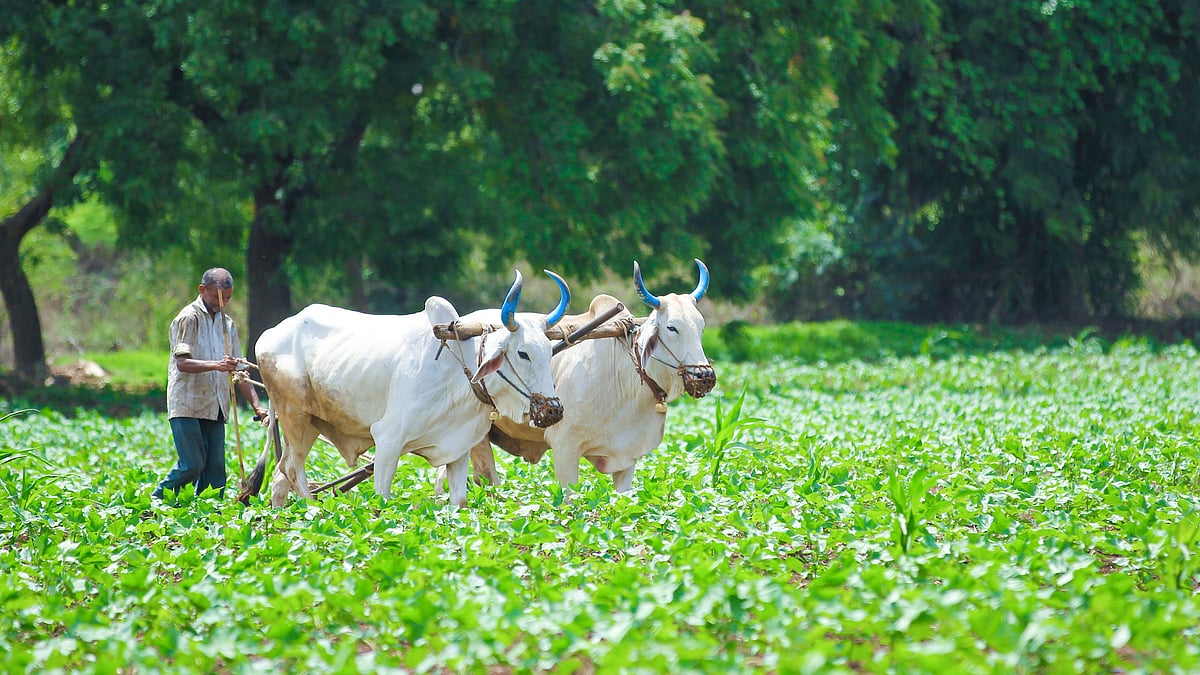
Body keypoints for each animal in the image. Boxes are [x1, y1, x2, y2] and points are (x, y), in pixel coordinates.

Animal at [241, 270, 571, 508]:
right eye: (523, 353)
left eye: (548, 350)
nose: (554, 410)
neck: (459, 369)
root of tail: (271, 333)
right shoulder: (388, 441)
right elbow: (382, 500)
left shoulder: (459, 448)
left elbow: (459, 501)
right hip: (294, 416)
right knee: (292, 470)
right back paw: (315, 514)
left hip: (309, 424)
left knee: (280, 477)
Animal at [440, 259, 715, 494]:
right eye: (672, 327)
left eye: (701, 327)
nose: (704, 376)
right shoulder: (565, 448)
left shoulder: (627, 459)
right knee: (485, 479)